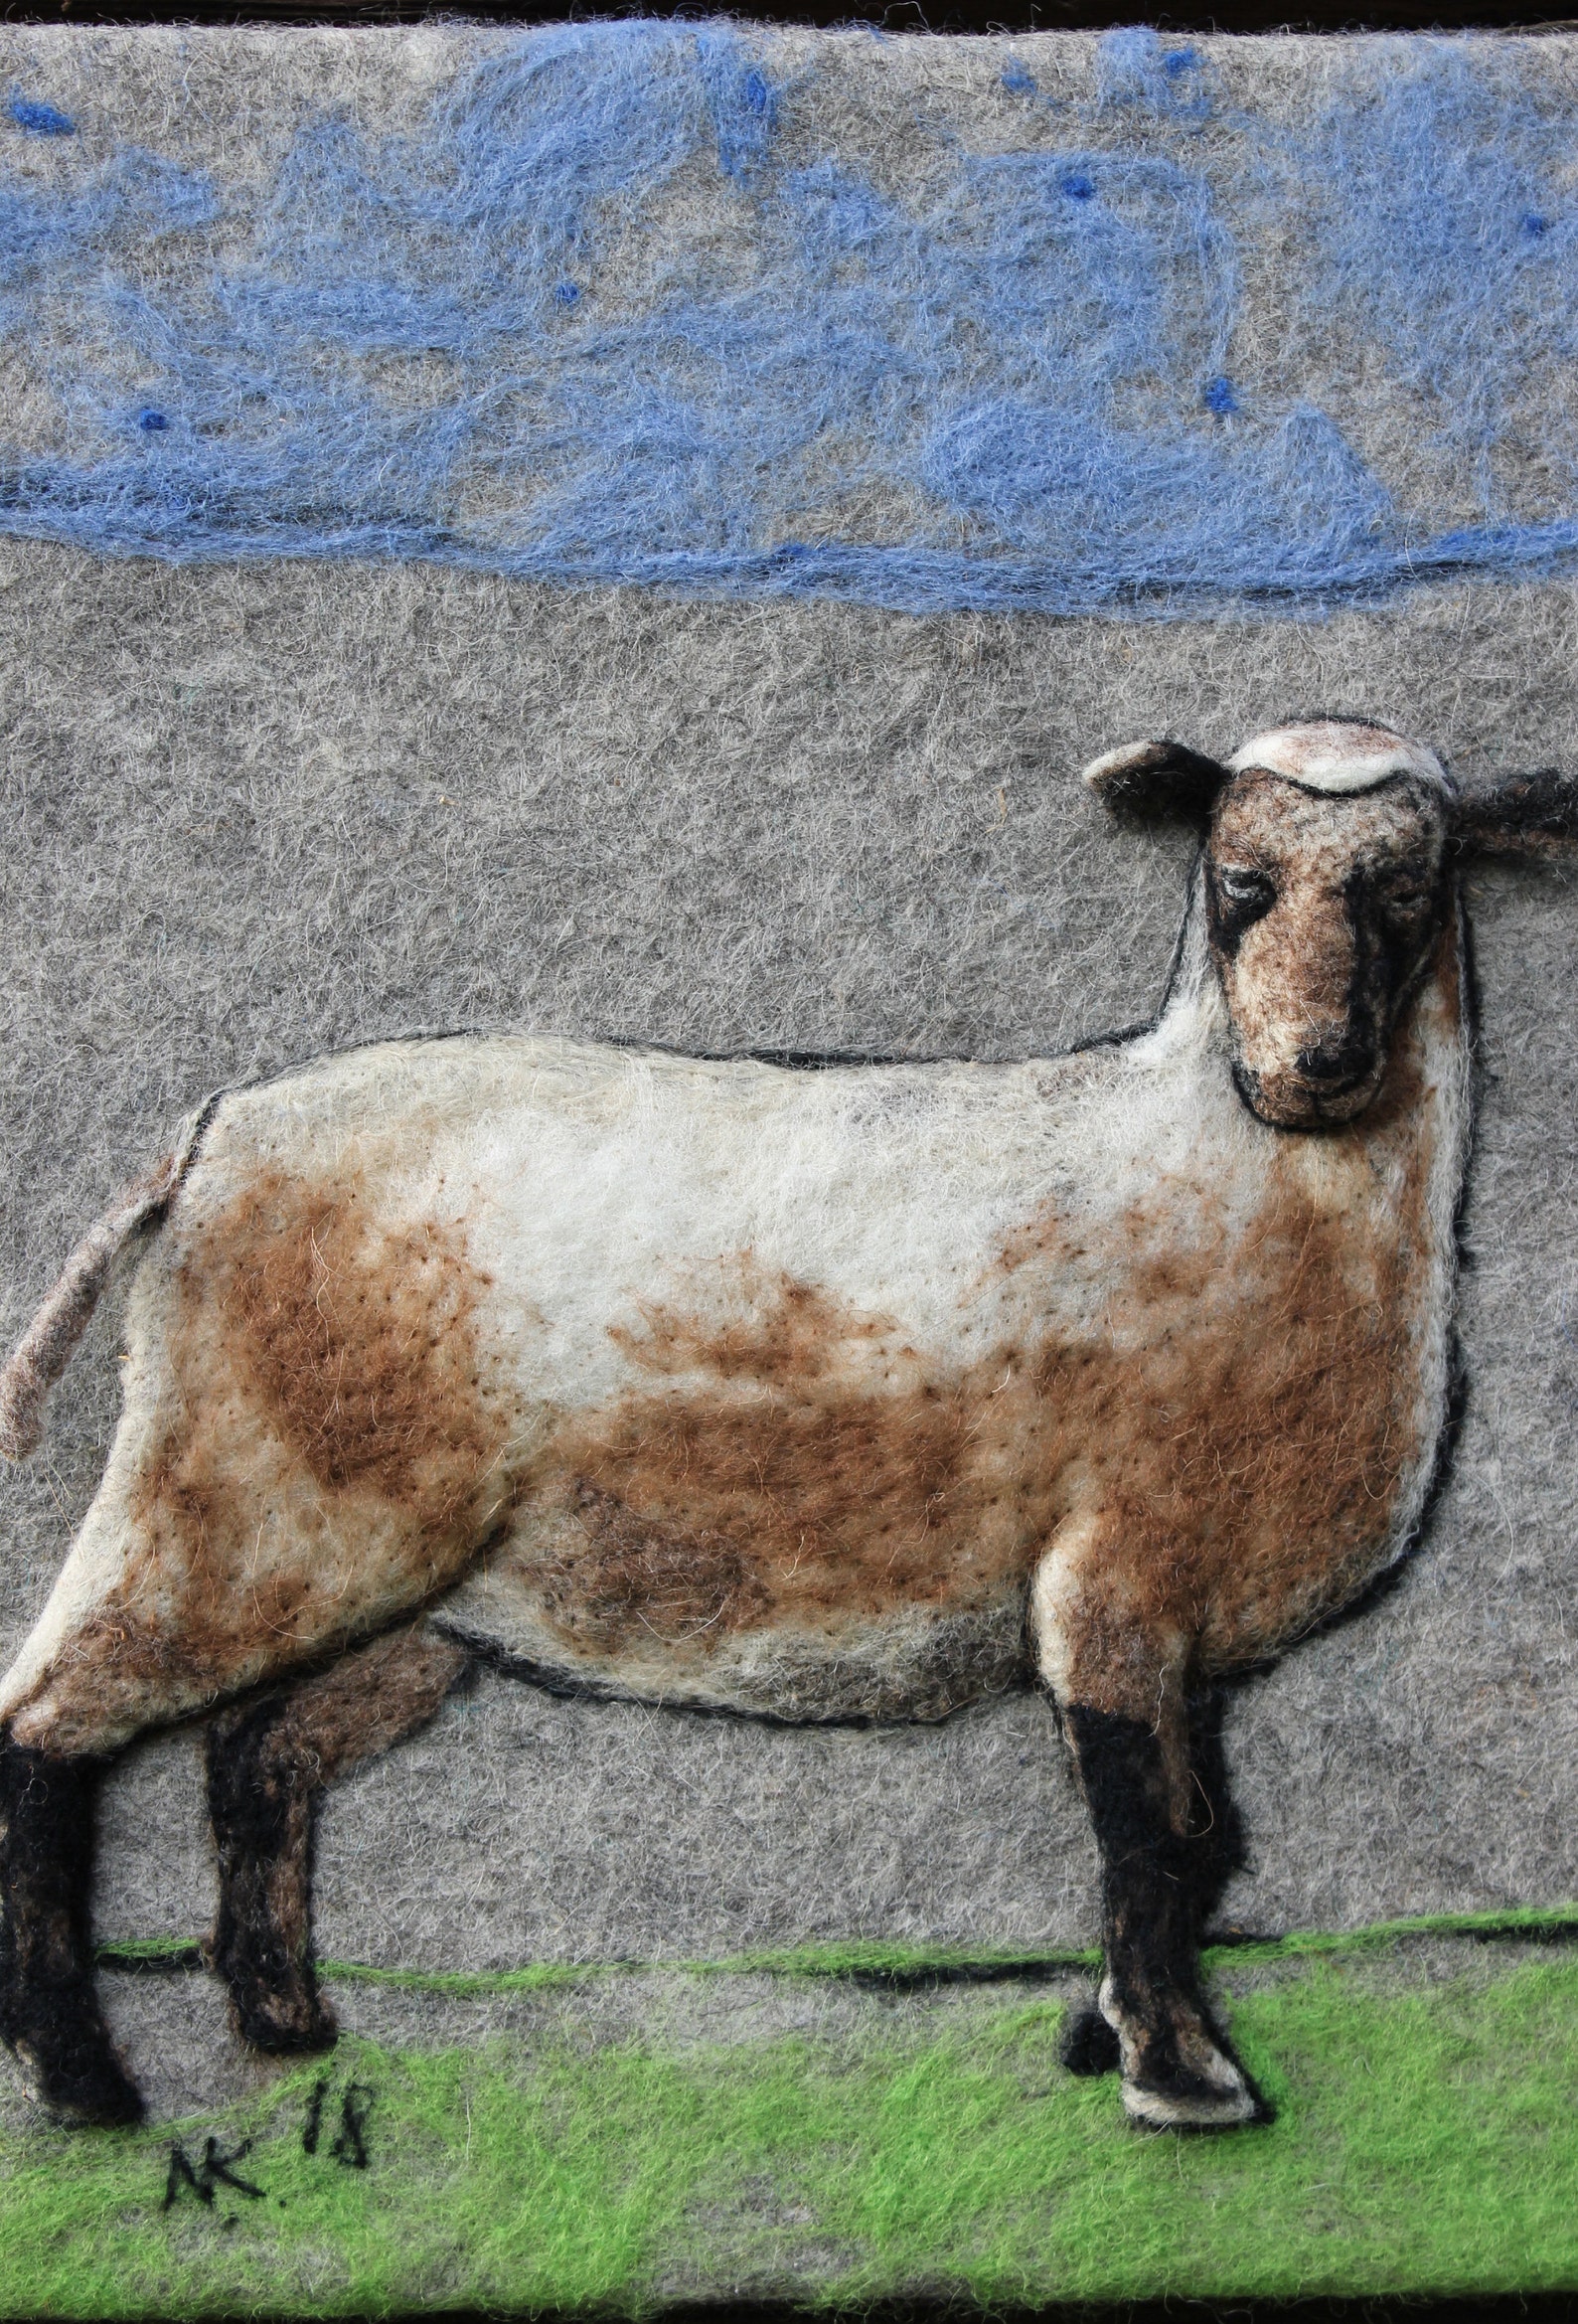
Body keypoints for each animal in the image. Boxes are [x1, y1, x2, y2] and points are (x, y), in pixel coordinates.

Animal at [0, 718, 1568, 2135]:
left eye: (1410, 889)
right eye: (1237, 878)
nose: (1317, 1060)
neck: (1220, 1161)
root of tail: (205, 1139)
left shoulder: (1200, 1622)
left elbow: (1208, 1842)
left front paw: (1101, 2030)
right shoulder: (1112, 1572)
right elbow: (1149, 1836)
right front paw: (1180, 2078)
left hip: (391, 1588)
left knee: (255, 1754)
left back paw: (282, 2022)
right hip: (234, 1492)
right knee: (46, 1726)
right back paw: (81, 2085)